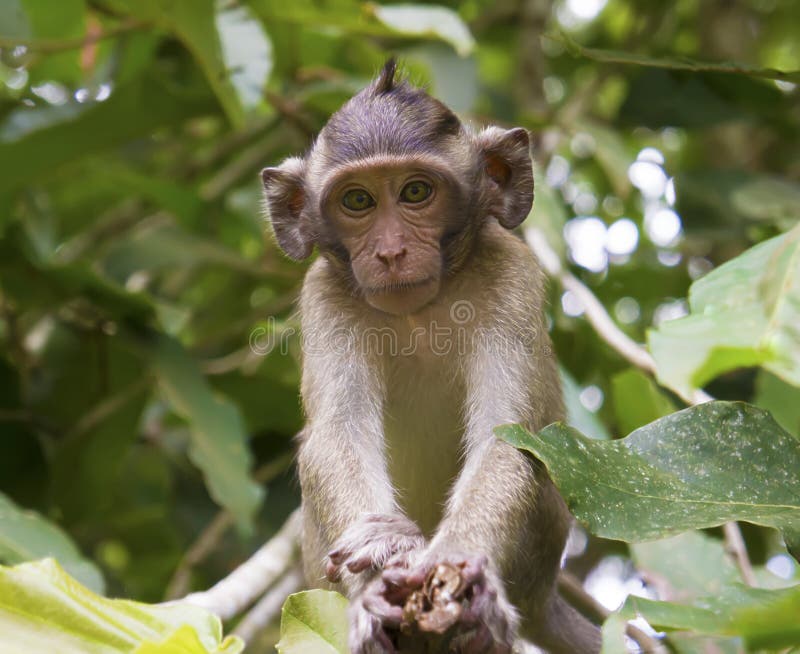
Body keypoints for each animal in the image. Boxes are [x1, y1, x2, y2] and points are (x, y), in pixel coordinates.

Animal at [261, 59, 601, 654]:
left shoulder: (512, 274)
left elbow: (506, 438)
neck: (418, 313)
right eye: (357, 201)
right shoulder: (323, 295)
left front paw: (456, 568)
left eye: (416, 191)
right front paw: (374, 579)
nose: (391, 251)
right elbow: (337, 432)